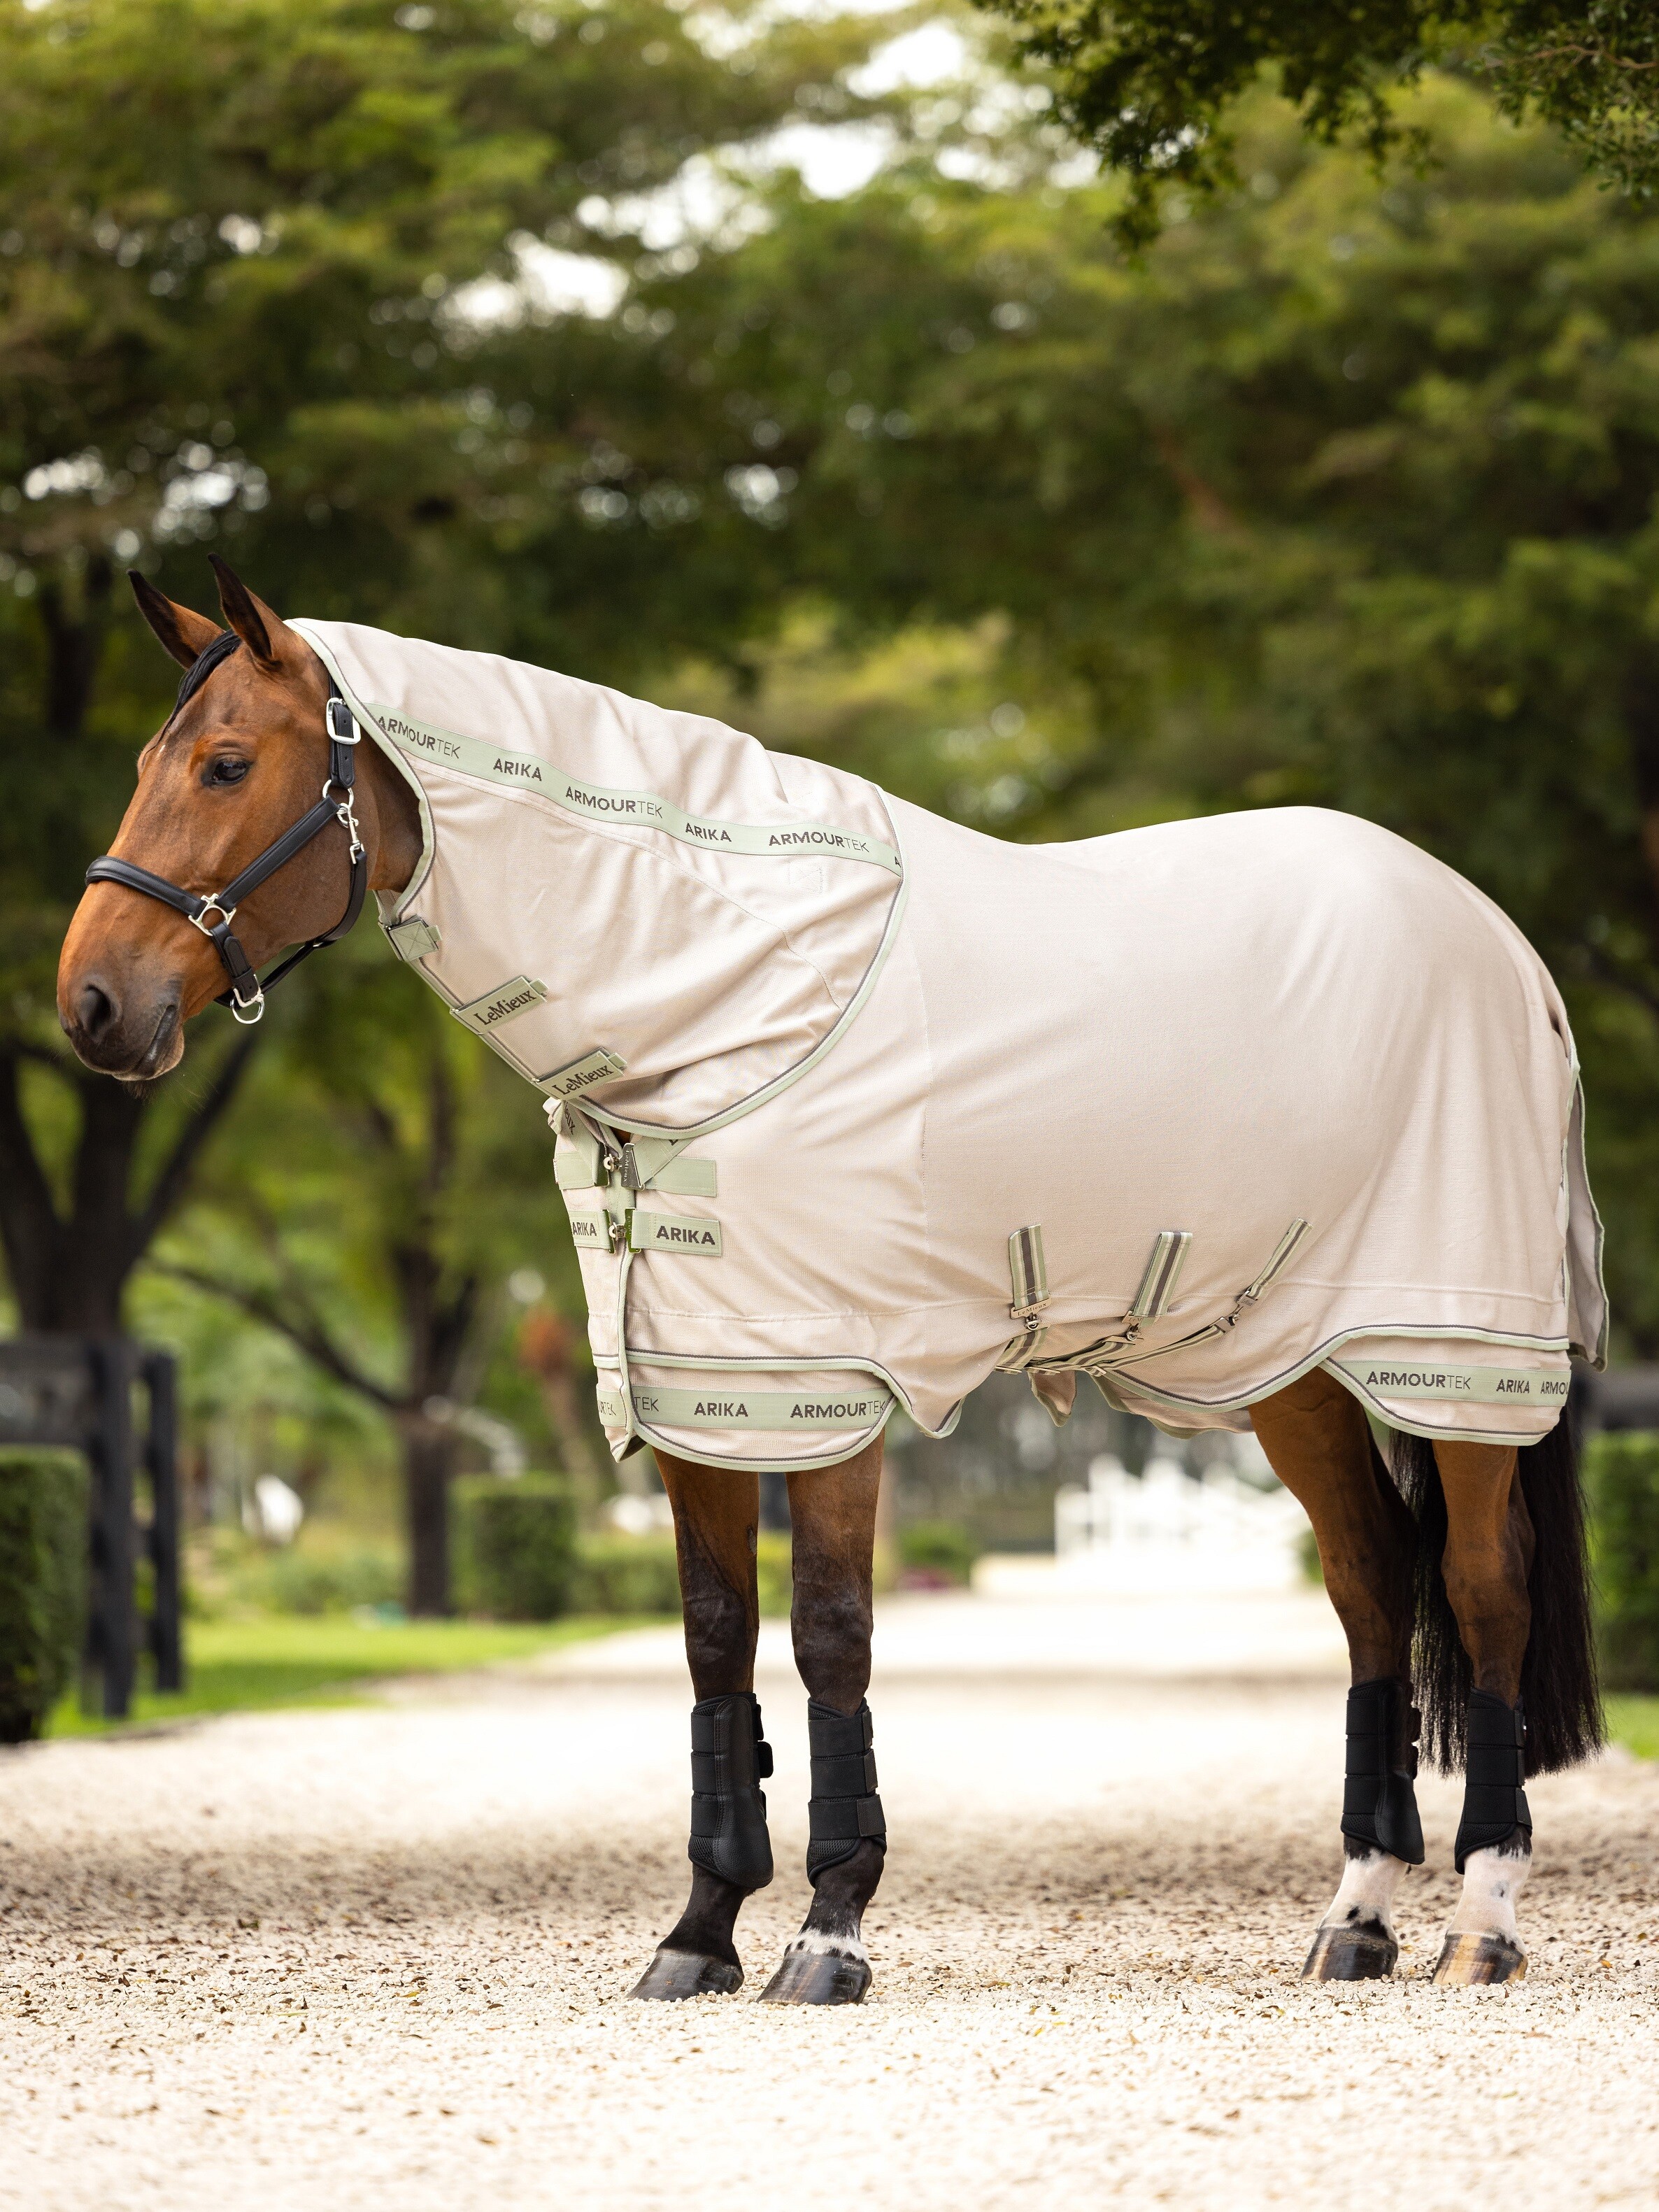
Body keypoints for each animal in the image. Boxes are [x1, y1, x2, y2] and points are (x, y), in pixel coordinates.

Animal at [57, 559, 1605, 2001]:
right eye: (138, 763)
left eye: (227, 762)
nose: (94, 1006)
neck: (732, 986)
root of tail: (1502, 945)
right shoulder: (704, 1389)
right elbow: (714, 1645)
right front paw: (698, 1933)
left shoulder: (835, 1384)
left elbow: (829, 1639)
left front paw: (829, 1930)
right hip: (1294, 1366)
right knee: (1368, 1590)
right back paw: (1355, 1922)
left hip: (1461, 1361)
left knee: (1479, 1592)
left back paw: (1480, 1923)